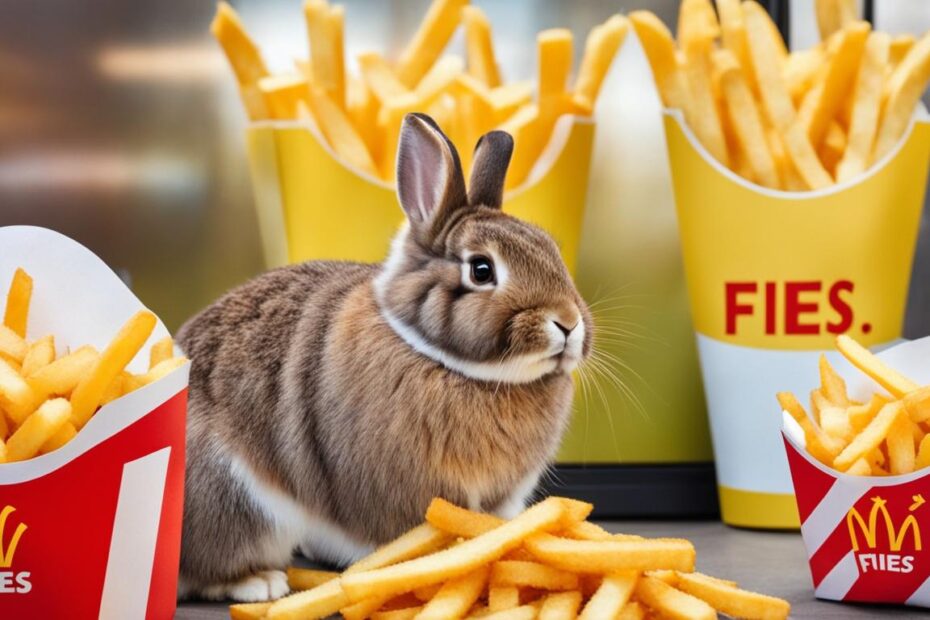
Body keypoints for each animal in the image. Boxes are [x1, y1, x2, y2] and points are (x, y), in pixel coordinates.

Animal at [175, 113, 592, 602]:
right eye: (481, 270)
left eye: (552, 249)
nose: (568, 323)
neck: (457, 367)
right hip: (236, 503)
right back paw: (260, 583)